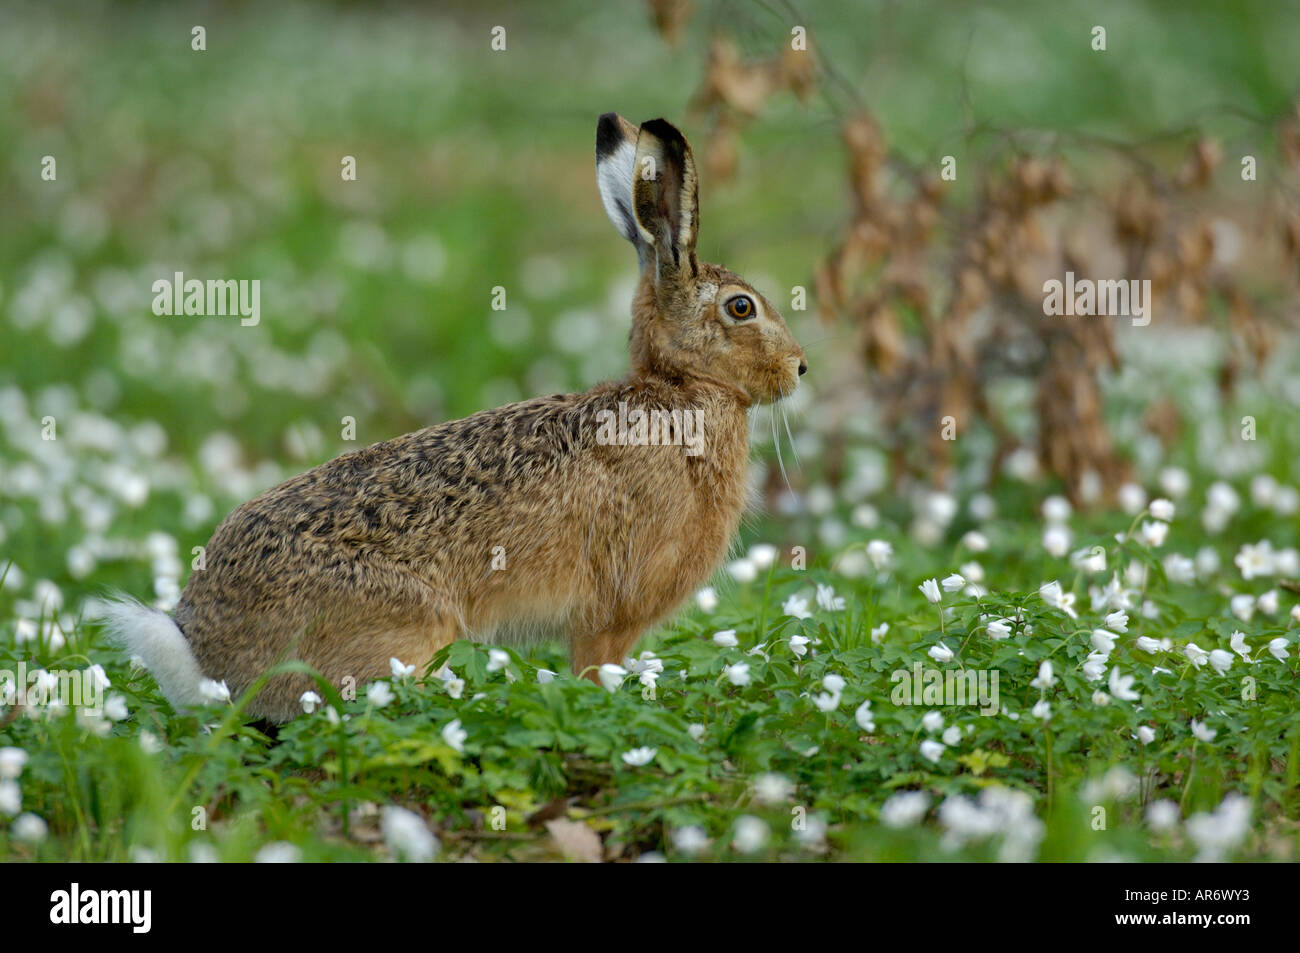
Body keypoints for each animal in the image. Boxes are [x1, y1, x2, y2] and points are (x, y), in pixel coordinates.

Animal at [102, 114, 806, 722]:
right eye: (741, 308)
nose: (800, 368)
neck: (682, 391)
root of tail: (205, 655)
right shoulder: (612, 612)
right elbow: (595, 670)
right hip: (410, 628)